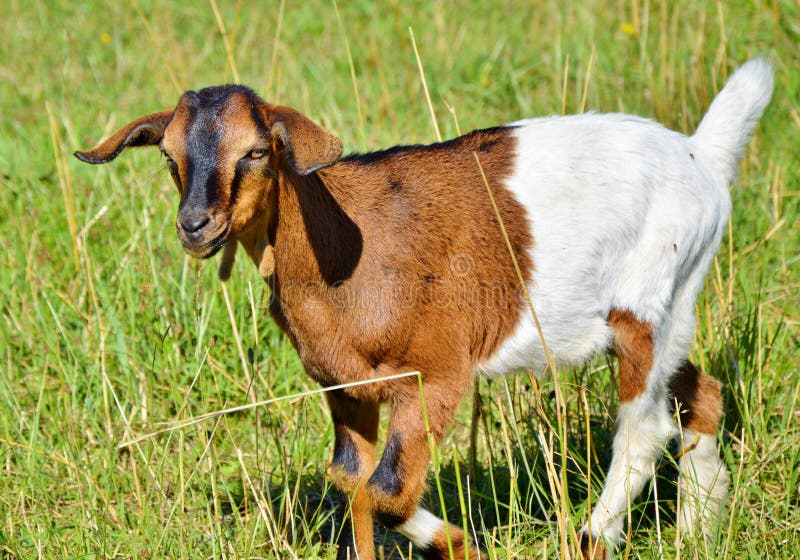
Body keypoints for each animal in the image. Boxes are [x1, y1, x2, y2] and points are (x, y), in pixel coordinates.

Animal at [75, 58, 773, 559]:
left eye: (255, 151)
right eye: (168, 156)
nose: (196, 225)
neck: (345, 250)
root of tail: (701, 156)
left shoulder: (432, 375)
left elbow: (383, 490)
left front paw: (462, 547)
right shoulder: (346, 389)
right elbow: (349, 482)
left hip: (647, 307)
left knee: (643, 429)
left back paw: (592, 539)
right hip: (670, 309)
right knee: (700, 396)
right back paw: (699, 530)